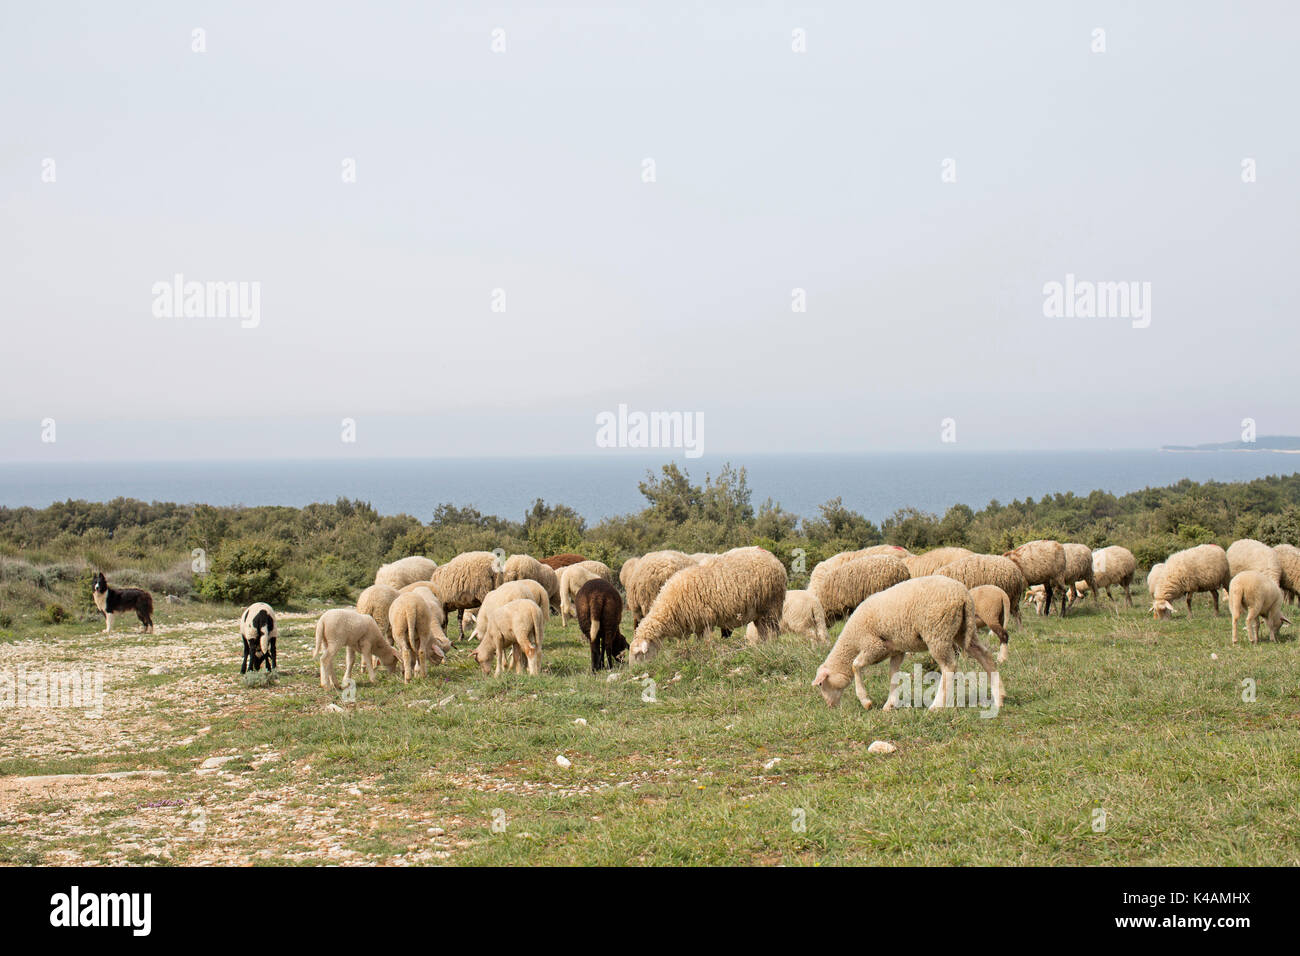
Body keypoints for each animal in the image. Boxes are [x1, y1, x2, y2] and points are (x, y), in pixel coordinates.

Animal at [629, 547, 785, 664]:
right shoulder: (698, 624)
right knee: (763, 630)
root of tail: (773, 557)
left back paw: (771, 645)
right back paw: (763, 645)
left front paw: (707, 653)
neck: (670, 606)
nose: (634, 671)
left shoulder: (706, 621)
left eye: (638, 655)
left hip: (771, 606)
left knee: (773, 631)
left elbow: (706, 642)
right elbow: (698, 642)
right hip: (760, 612)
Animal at [812, 575, 1004, 712]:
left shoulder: (874, 646)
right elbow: (893, 675)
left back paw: (937, 705)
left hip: (936, 632)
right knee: (984, 655)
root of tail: (964, 596)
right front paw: (890, 704)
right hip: (962, 630)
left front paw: (866, 701)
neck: (851, 640)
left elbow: (855, 666)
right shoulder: (896, 650)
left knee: (949, 666)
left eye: (821, 684)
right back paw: (999, 697)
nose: (830, 706)